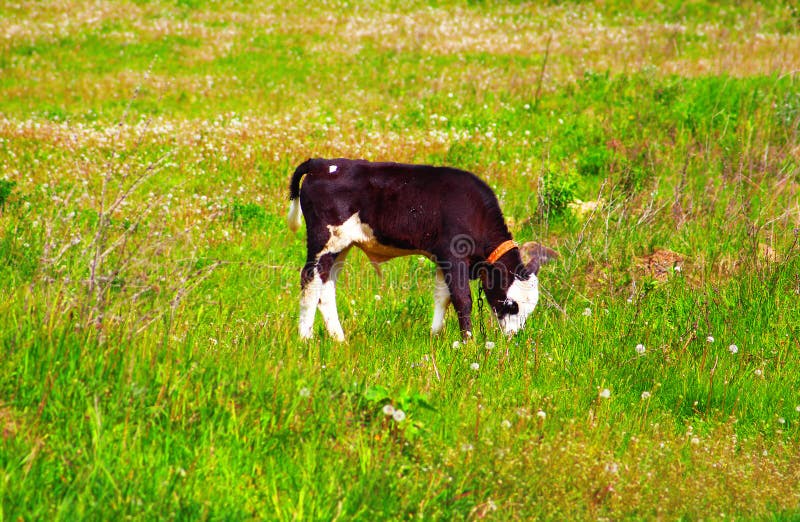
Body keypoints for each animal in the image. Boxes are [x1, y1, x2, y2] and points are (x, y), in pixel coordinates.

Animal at [287, 158, 557, 341]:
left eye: (529, 309)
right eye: (511, 305)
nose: (513, 337)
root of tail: (322, 163)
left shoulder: (442, 259)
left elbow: (442, 297)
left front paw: (435, 335)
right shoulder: (454, 255)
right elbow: (462, 299)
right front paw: (468, 342)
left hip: (340, 247)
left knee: (326, 286)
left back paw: (339, 339)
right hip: (324, 241)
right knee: (310, 280)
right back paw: (306, 338)